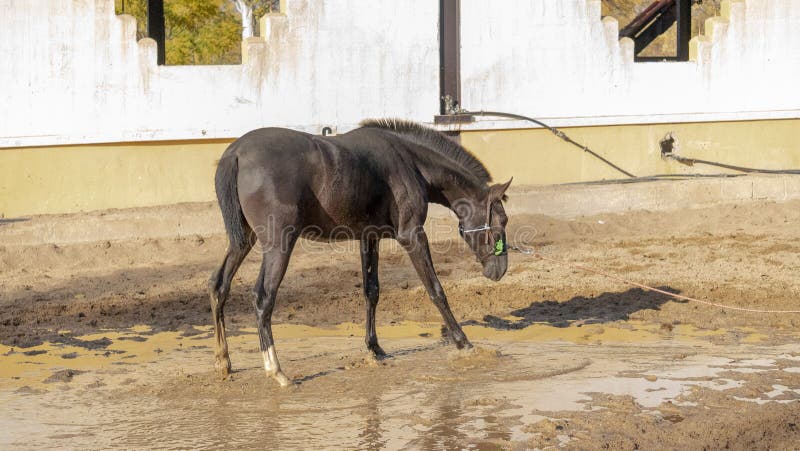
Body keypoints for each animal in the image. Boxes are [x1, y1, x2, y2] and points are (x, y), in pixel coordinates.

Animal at [208, 118, 512, 386]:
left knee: (218, 285)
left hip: (242, 240)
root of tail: (235, 153)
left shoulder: (369, 237)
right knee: (263, 297)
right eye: (502, 220)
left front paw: (374, 347)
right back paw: (276, 370)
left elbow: (371, 291)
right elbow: (435, 289)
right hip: (278, 245)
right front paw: (463, 341)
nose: (499, 271)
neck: (409, 162)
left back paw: (223, 360)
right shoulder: (412, 235)